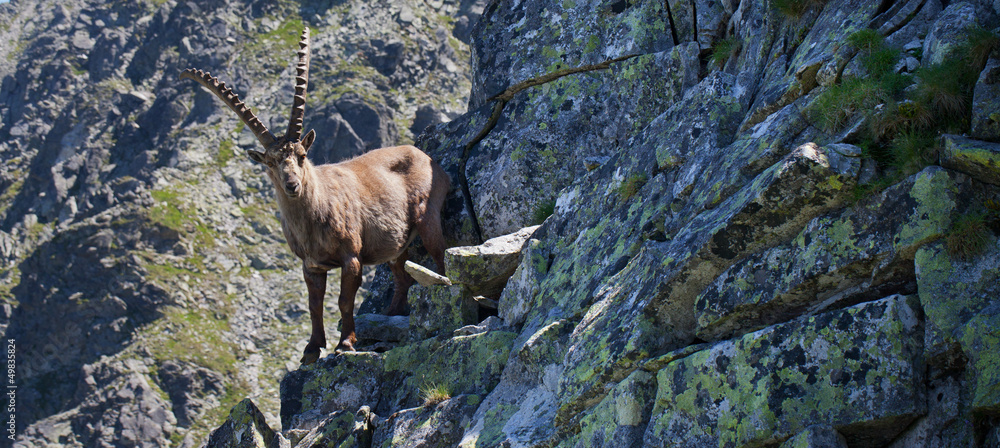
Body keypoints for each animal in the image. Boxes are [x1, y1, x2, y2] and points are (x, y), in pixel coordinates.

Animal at [181, 28, 449, 364]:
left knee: (440, 258)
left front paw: (345, 343)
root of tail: (427, 158)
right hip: (396, 245)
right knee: (402, 277)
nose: (292, 185)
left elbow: (344, 300)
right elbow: (314, 305)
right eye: (270, 163)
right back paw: (390, 317)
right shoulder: (311, 265)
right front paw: (311, 349)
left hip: (429, 218)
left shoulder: (351, 257)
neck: (315, 215)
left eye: (302, 155)